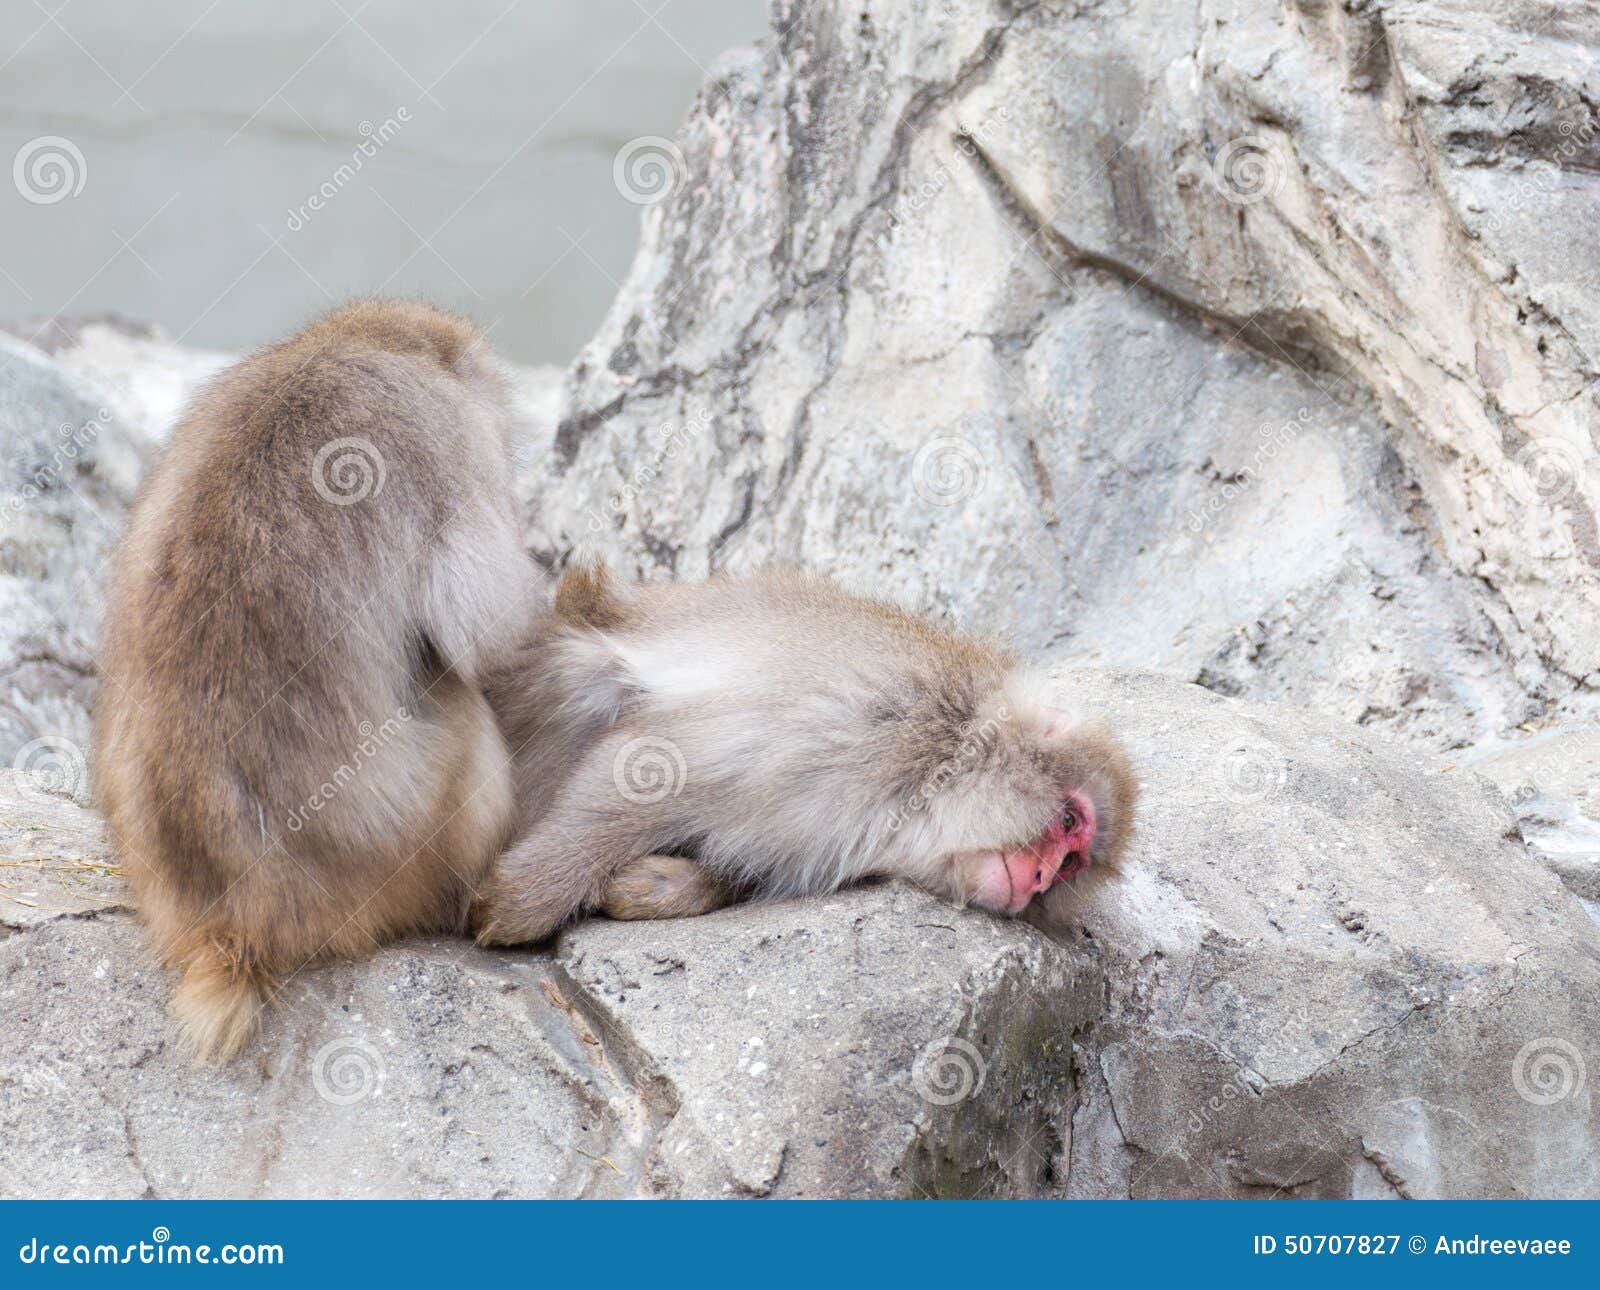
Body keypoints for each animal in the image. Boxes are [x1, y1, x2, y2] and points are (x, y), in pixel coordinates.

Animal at [93, 300, 539, 1061]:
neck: (356, 342)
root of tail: (231, 928)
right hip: (409, 843)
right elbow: (487, 629)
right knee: (458, 701)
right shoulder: (445, 436)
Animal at [472, 566, 1136, 944]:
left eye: (1072, 866)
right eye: (1069, 820)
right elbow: (652, 765)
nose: (1042, 878)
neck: (937, 767)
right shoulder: (865, 726)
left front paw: (664, 884)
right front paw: (515, 904)